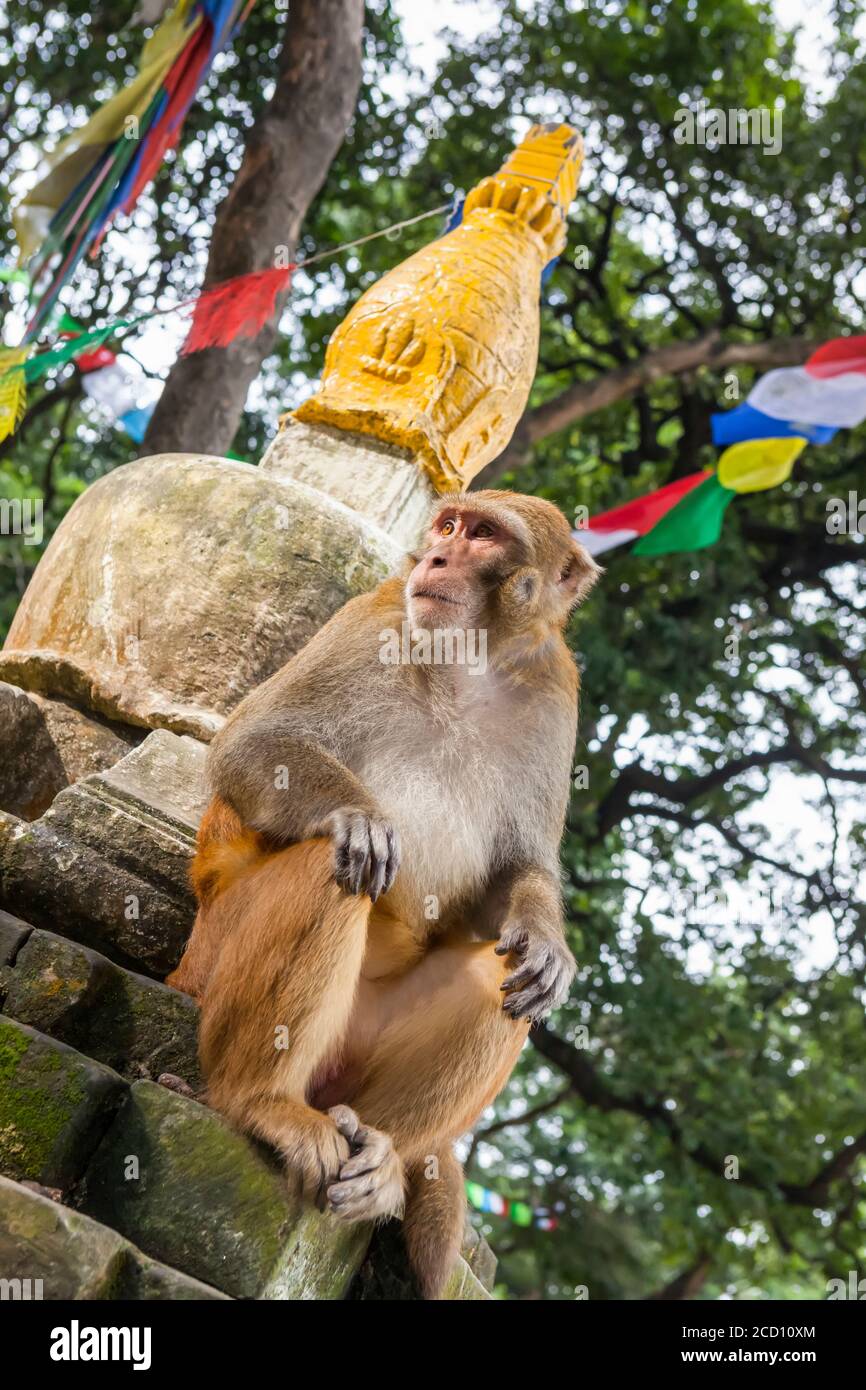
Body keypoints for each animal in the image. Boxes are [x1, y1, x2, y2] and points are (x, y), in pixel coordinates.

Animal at [166, 488, 600, 1298]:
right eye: (449, 525)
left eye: (484, 535)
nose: (436, 557)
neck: (469, 662)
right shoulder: (372, 618)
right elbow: (249, 745)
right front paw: (359, 819)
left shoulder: (554, 688)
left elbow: (515, 876)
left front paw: (548, 939)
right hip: (213, 959)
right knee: (330, 869)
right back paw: (261, 1102)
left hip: (355, 1064)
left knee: (505, 979)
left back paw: (386, 1158)